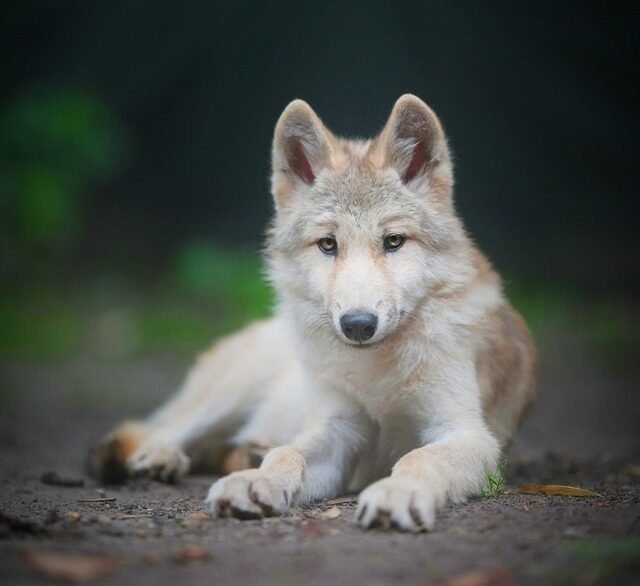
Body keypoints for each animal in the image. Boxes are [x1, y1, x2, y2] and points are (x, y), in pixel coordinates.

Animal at [89, 95, 537, 531]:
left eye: (393, 241)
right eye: (327, 244)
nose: (358, 325)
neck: (377, 373)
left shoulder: (469, 434)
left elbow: (418, 458)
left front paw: (397, 493)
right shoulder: (337, 428)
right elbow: (288, 453)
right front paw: (257, 482)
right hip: (226, 395)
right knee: (158, 429)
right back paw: (161, 458)